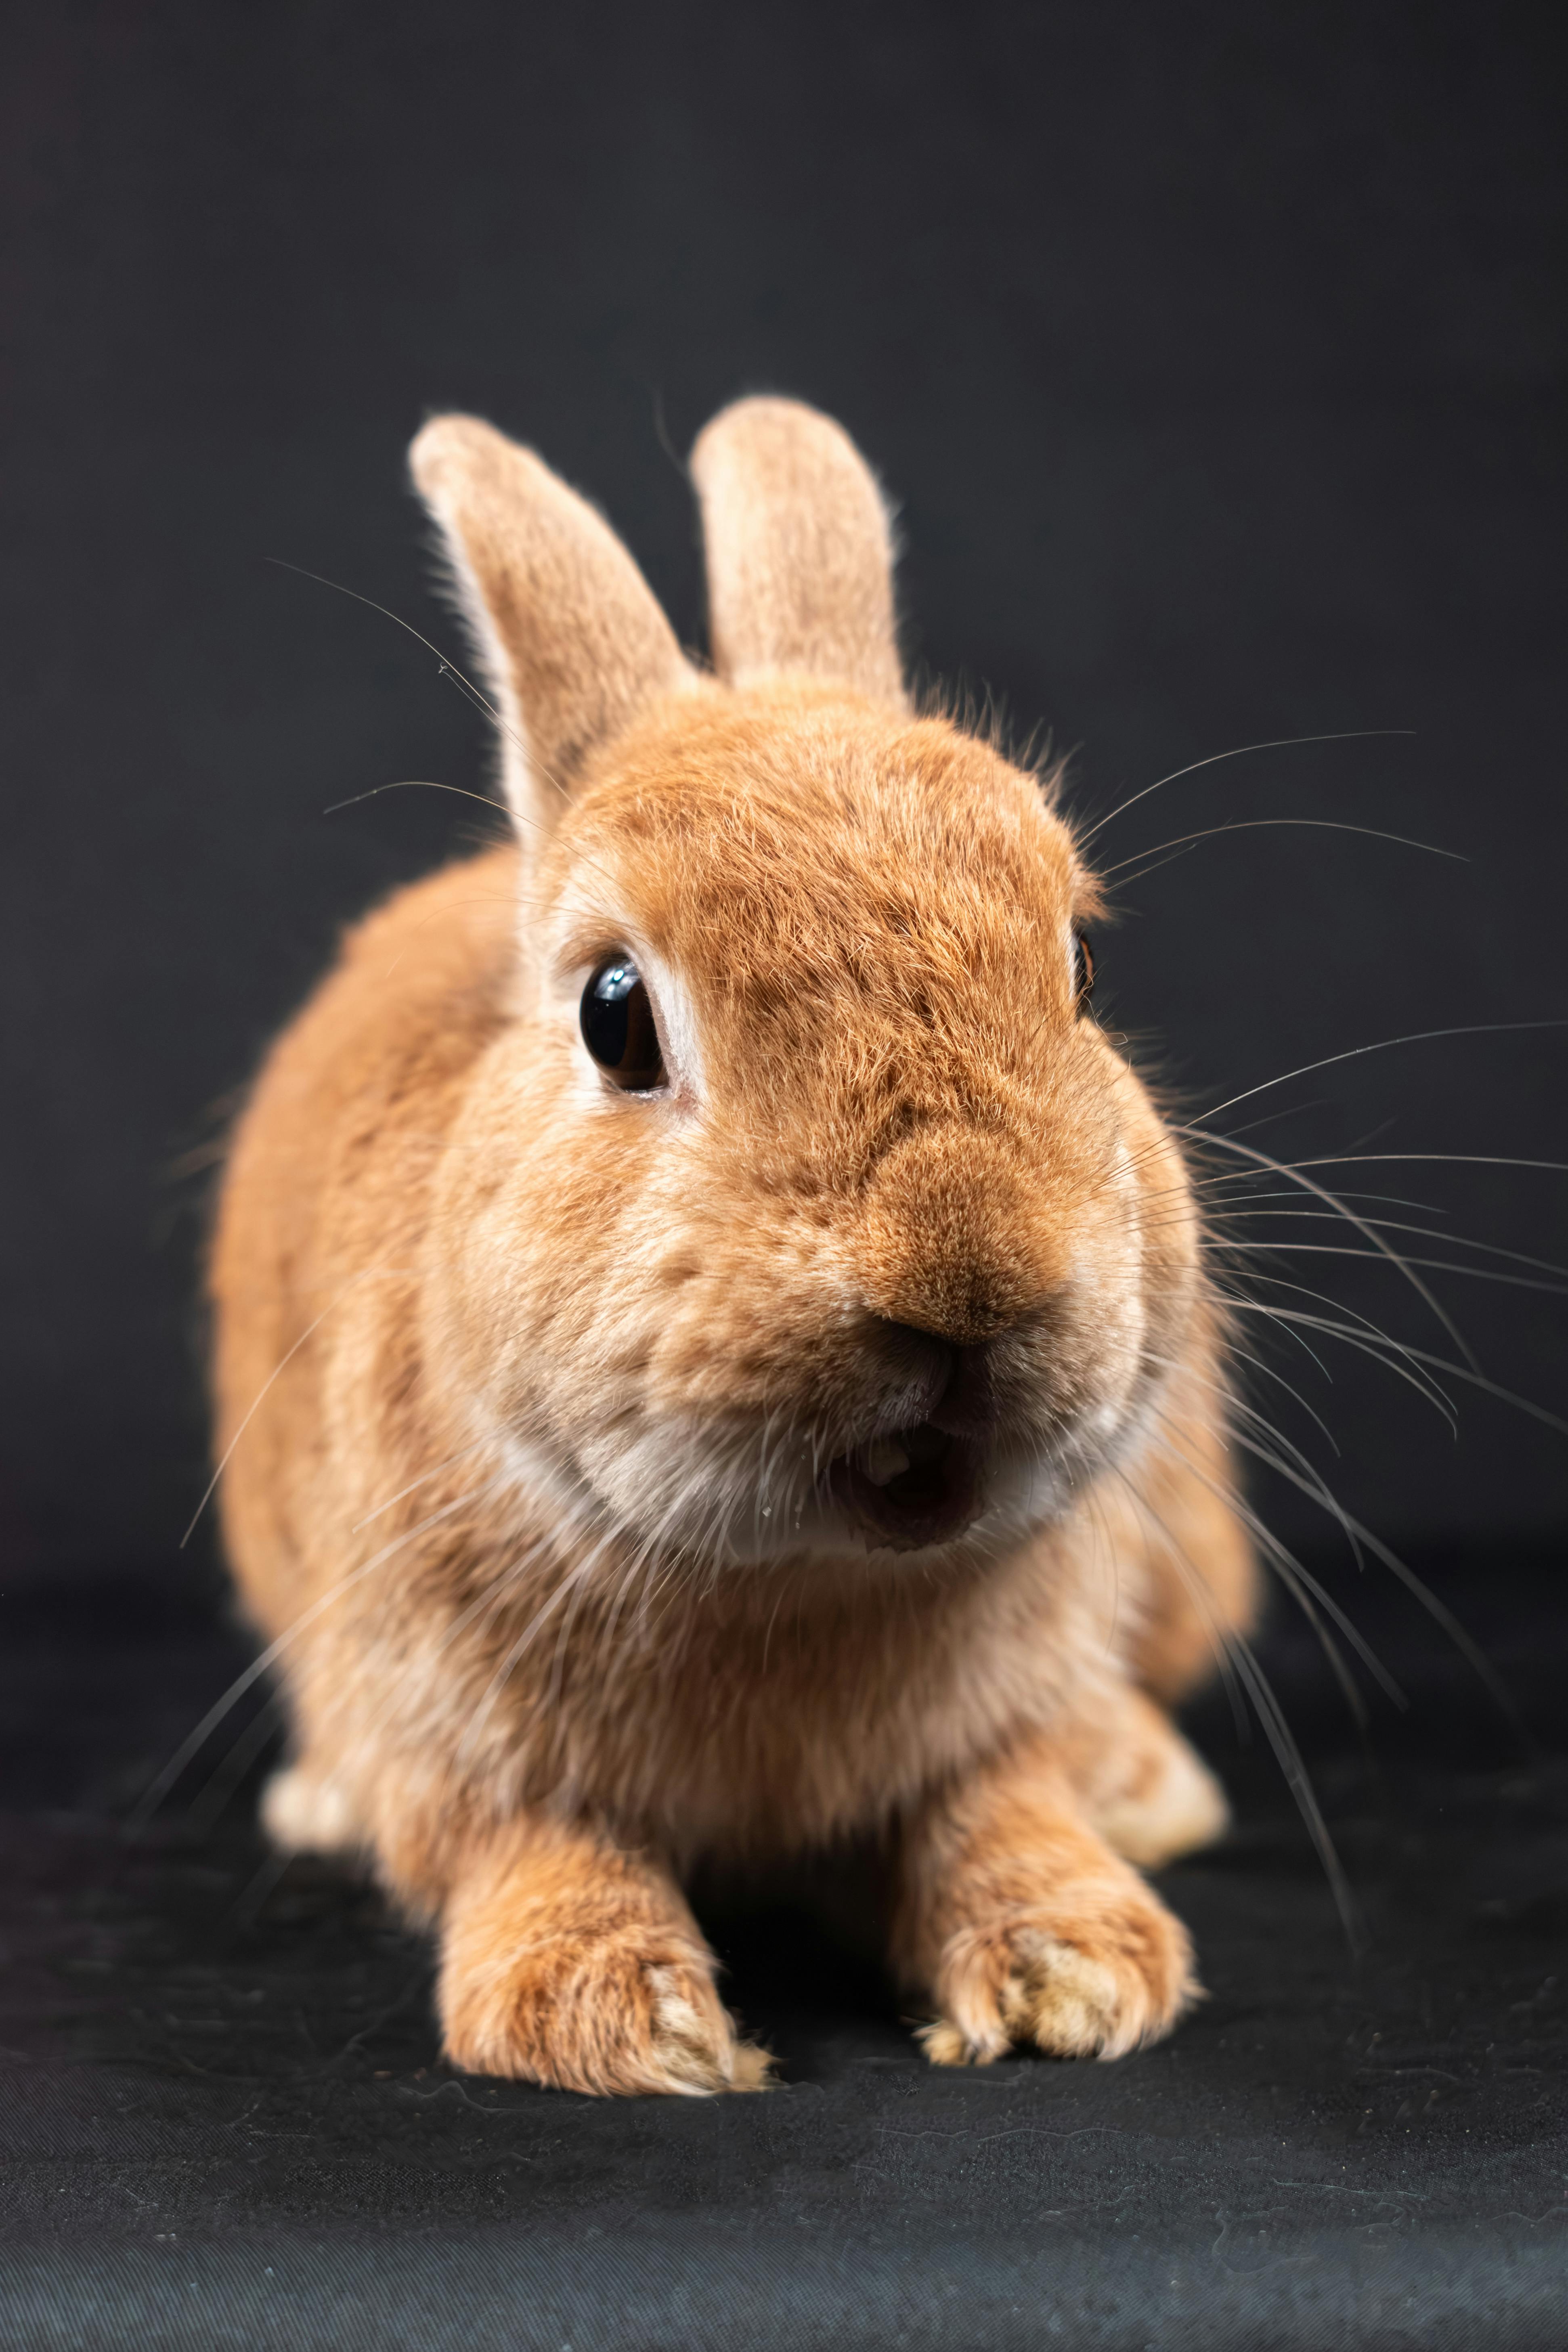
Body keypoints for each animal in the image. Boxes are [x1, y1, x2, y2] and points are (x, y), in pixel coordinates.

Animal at [210, 396, 1258, 2095]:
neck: (793, 1586)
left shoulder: (998, 1716)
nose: (968, 1268)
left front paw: (1077, 1963)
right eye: (613, 1012)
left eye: (1083, 963)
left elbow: (1000, 1798)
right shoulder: (434, 1720)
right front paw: (620, 2018)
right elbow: (519, 1841)